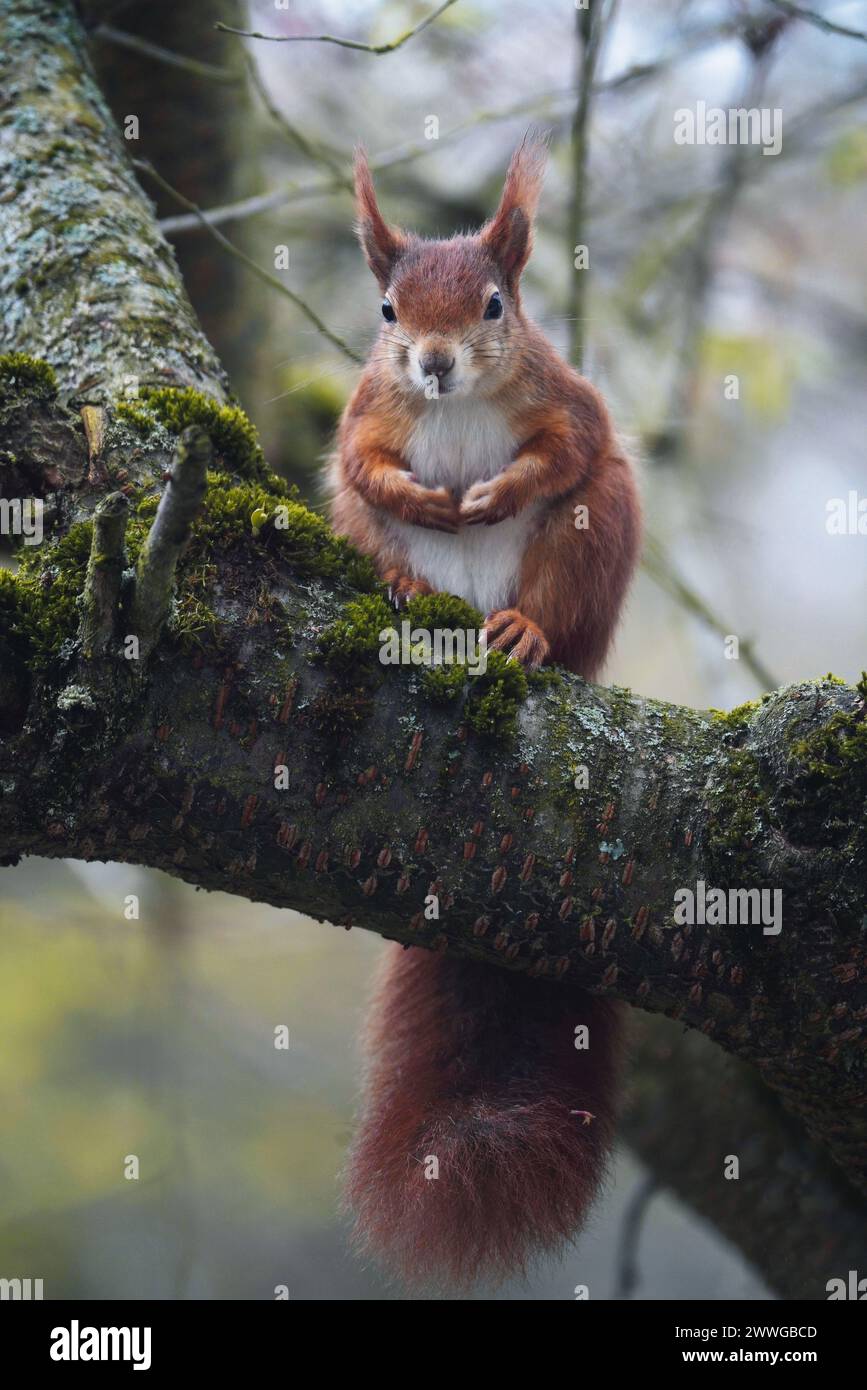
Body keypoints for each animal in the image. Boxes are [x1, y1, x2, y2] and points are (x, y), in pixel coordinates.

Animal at [330, 138, 641, 1289]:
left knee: (559, 581)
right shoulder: (361, 422)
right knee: (370, 527)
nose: (432, 363)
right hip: (357, 534)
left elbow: (563, 450)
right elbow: (361, 462)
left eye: (496, 306)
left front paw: (495, 489)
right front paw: (426, 497)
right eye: (386, 311)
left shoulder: (570, 405)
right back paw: (407, 588)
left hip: (595, 536)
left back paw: (524, 638)